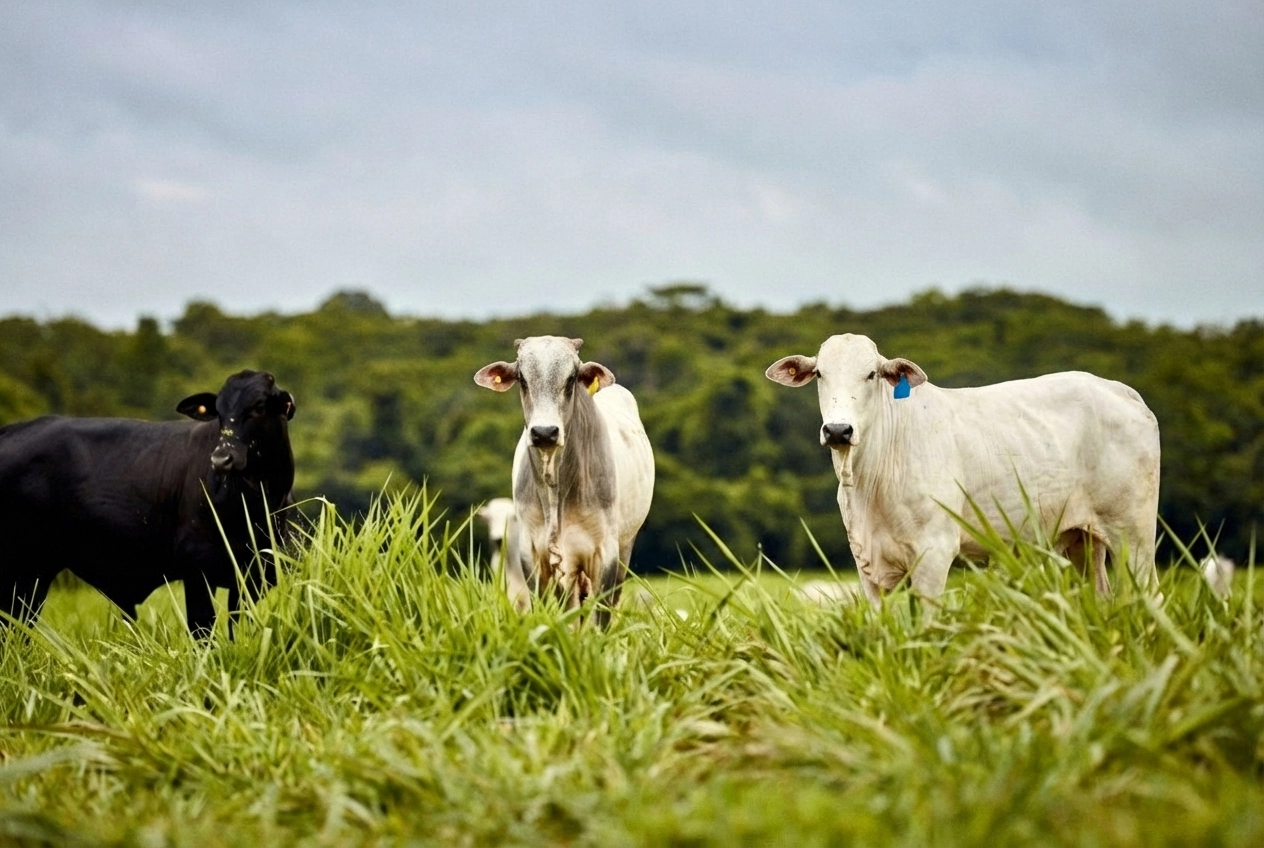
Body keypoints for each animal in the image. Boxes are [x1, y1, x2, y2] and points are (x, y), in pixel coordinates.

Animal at [0, 370, 296, 637]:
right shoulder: (196, 569)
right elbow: (202, 630)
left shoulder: (255, 576)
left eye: (259, 407)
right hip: (22, 570)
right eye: (219, 412)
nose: (222, 458)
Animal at [474, 336, 654, 626]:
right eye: (522, 379)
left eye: (571, 379)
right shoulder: (533, 555)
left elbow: (601, 615)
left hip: (625, 546)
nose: (544, 432)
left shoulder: (605, 553)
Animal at [766, 334, 1160, 605]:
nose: (838, 430)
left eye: (872, 374)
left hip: (1133, 533)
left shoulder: (935, 552)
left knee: (1148, 592)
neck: (868, 485)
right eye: (820, 373)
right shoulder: (869, 565)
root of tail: (1121, 391)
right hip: (1082, 538)